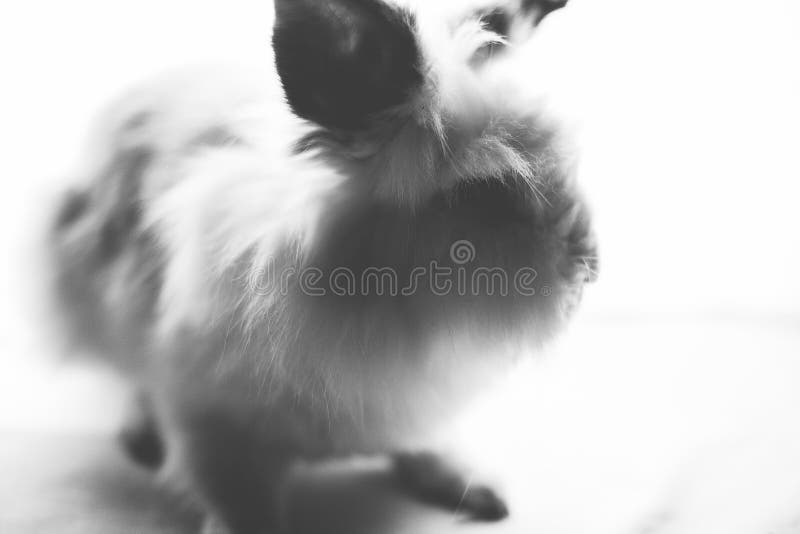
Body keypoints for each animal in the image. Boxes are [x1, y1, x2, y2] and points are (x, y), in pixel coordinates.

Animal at [49, 0, 596, 532]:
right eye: (479, 193)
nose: (589, 266)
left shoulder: (419, 406)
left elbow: (427, 447)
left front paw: (480, 492)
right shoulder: (213, 428)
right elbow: (240, 504)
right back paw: (139, 434)